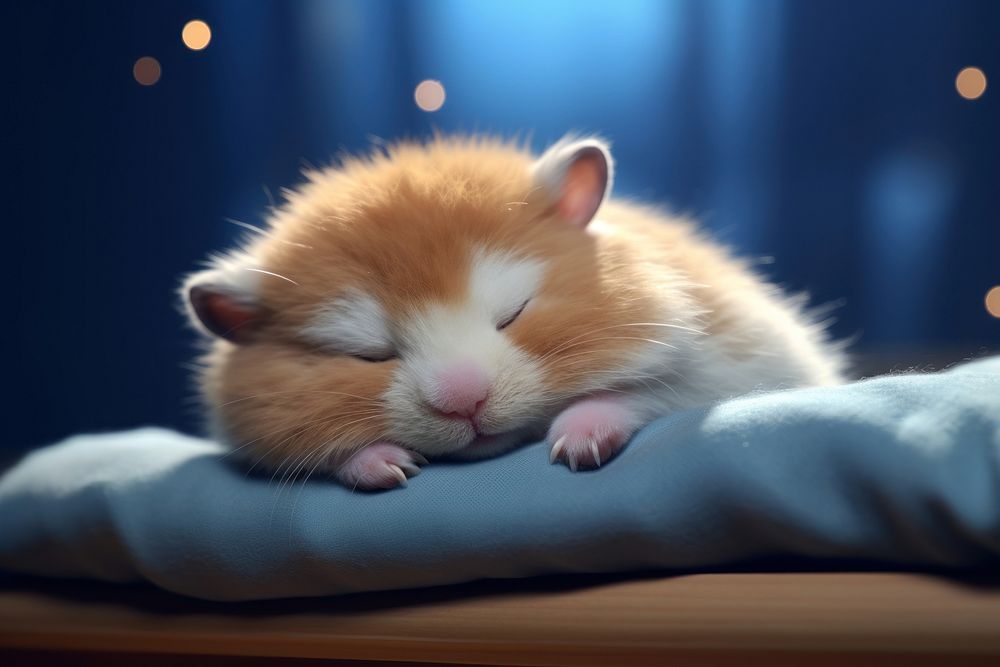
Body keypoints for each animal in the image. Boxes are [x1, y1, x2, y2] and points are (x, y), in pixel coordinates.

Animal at [182, 135, 846, 491]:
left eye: (514, 313)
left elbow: (638, 394)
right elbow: (332, 457)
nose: (465, 404)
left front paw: (575, 450)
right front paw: (393, 470)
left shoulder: (728, 362)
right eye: (369, 355)